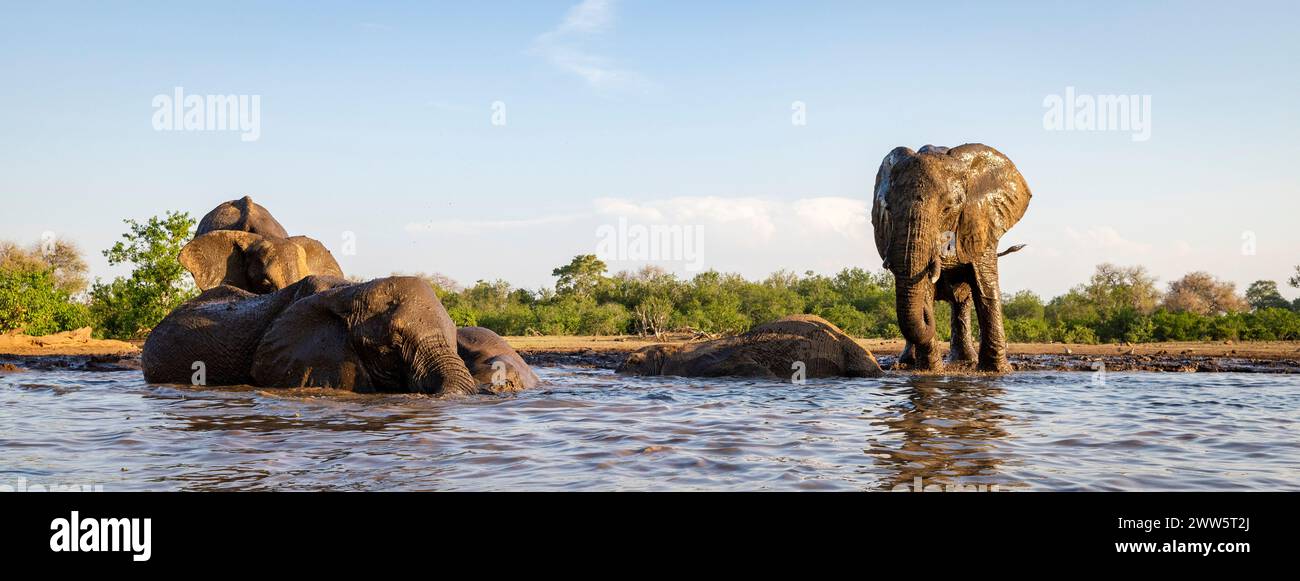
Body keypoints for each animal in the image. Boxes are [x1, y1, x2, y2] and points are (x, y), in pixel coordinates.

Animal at [871, 144, 1031, 372]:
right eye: (888, 208)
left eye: (949, 207)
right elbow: (924, 291)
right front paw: (930, 372)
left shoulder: (981, 224)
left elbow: (986, 289)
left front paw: (997, 371)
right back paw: (907, 363)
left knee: (963, 303)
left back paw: (963, 361)